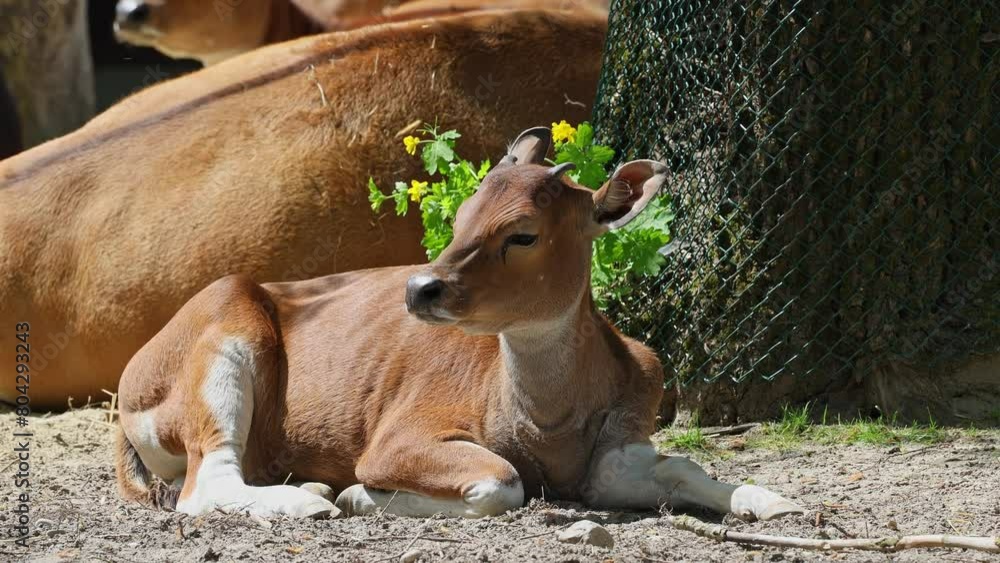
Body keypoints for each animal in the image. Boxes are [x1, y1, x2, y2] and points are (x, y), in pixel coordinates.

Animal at [114, 127, 805, 523]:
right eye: (463, 213)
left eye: (523, 233)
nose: (420, 288)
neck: (541, 420)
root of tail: (130, 380)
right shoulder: (397, 442)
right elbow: (502, 482)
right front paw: (359, 495)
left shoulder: (616, 456)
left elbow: (683, 468)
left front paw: (771, 499)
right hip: (227, 338)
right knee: (205, 485)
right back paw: (308, 499)